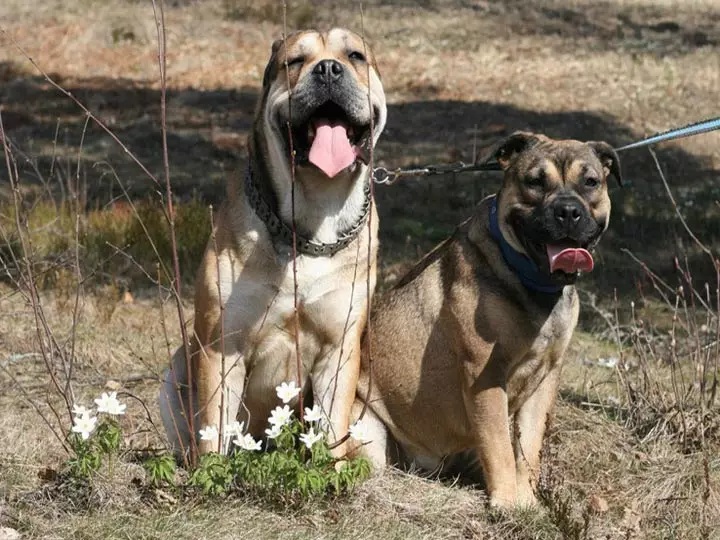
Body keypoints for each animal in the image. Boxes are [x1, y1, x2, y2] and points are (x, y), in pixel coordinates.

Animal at [162, 29, 388, 458]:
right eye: (294, 61)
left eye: (355, 56)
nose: (329, 69)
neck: (312, 226)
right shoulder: (221, 348)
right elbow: (214, 431)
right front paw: (210, 471)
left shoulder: (339, 349)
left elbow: (330, 432)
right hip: (173, 372)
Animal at [352, 133, 620, 508]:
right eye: (535, 182)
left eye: (591, 182)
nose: (567, 211)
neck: (530, 278)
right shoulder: (486, 376)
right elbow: (499, 446)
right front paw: (507, 502)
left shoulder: (545, 379)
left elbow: (528, 447)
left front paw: (527, 500)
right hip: (366, 433)